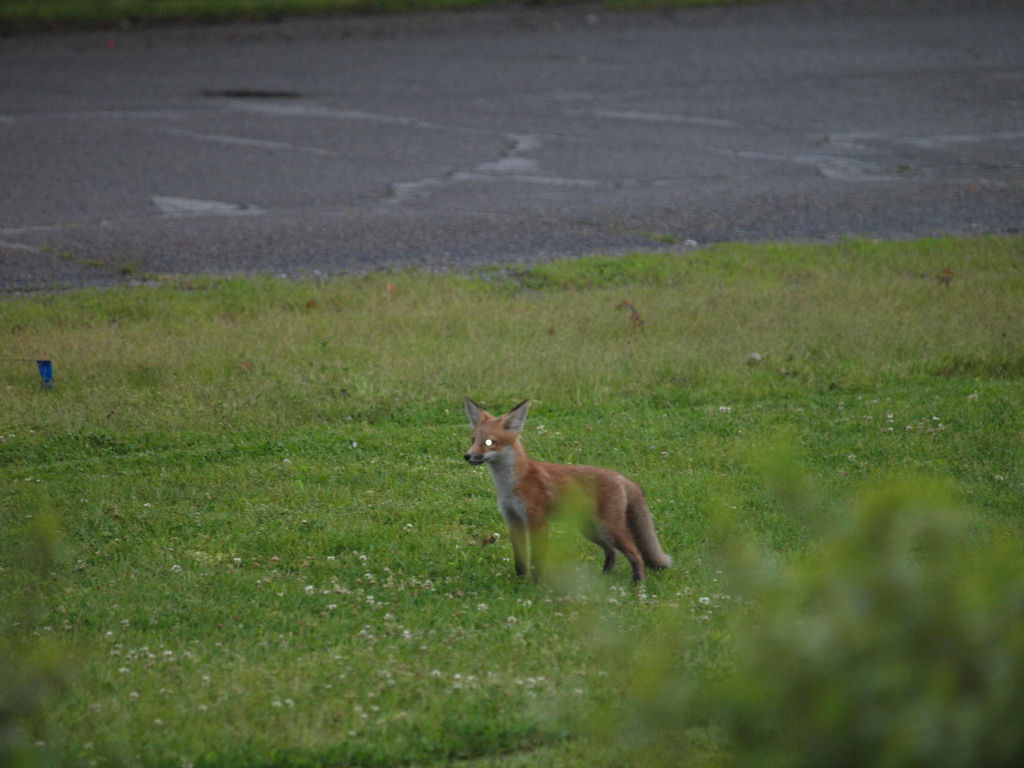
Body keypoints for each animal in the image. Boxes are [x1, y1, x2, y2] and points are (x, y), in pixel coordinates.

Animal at [464, 397, 672, 582]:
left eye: (489, 442)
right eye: (473, 440)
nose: (467, 456)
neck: (512, 484)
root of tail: (622, 478)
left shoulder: (537, 522)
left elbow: (538, 560)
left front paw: (536, 587)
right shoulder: (514, 522)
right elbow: (520, 561)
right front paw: (520, 584)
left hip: (610, 528)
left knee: (635, 554)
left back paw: (638, 586)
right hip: (590, 529)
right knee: (612, 552)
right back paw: (603, 578)